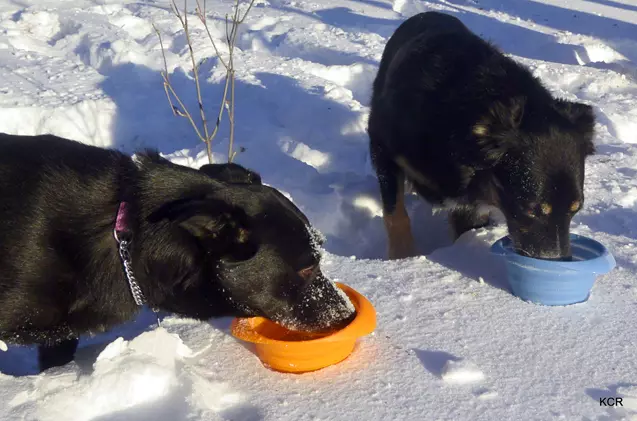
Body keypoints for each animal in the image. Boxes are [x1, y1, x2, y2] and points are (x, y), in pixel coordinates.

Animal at [368, 11, 596, 260]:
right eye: (530, 209)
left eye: (576, 209)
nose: (562, 261)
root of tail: (429, 13)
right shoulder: (383, 145)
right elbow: (396, 213)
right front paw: (402, 258)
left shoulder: (467, 202)